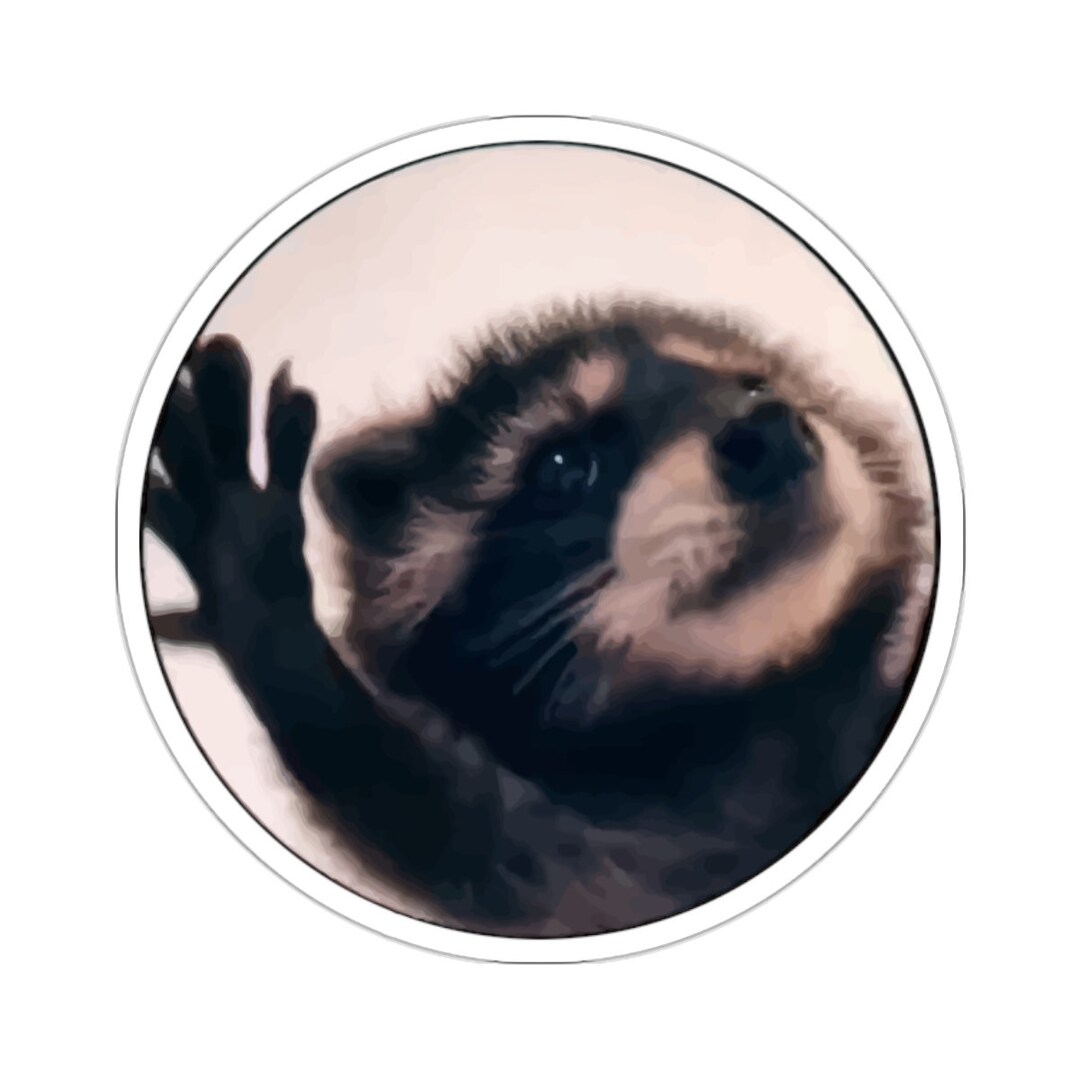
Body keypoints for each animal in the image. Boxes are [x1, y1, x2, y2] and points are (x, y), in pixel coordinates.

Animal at [144, 299, 934, 937]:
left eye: (755, 385)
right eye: (563, 464)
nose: (769, 432)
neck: (745, 718)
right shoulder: (611, 872)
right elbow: (457, 834)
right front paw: (270, 618)